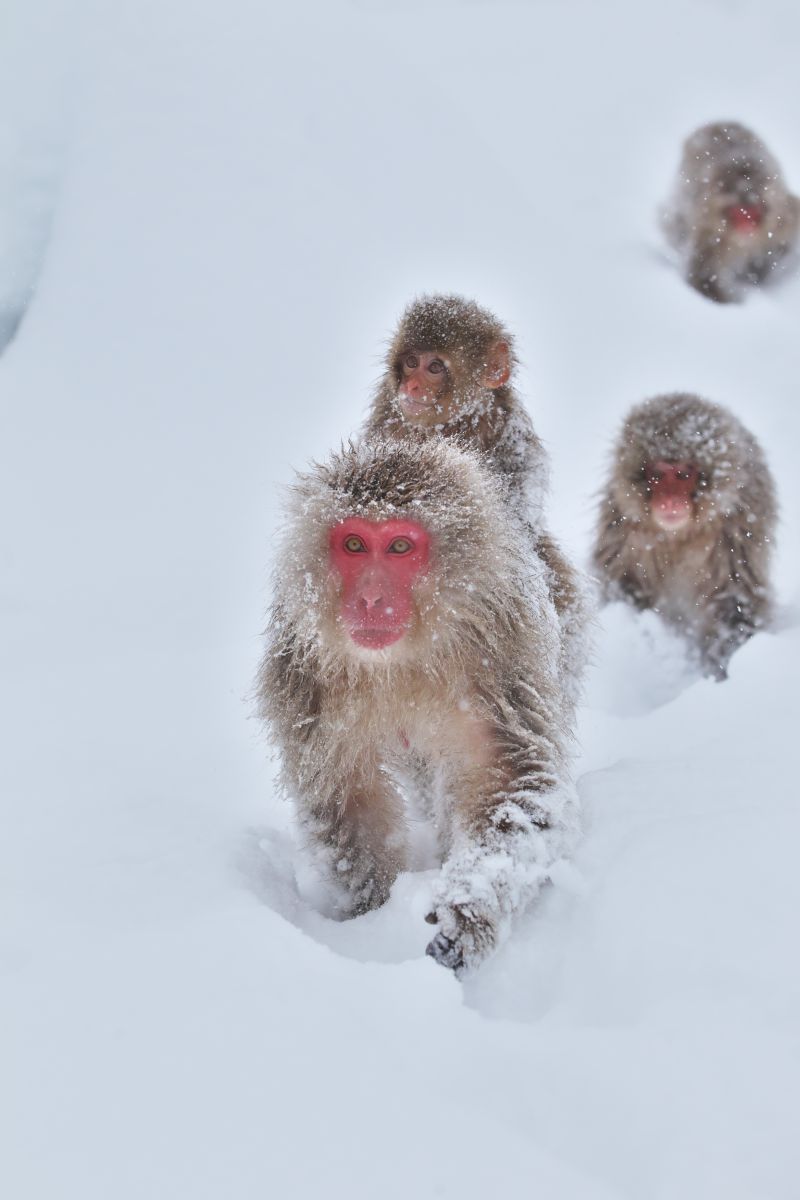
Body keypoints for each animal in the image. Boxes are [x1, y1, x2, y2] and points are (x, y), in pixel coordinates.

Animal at [257, 437, 580, 972]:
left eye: (400, 547)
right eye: (354, 545)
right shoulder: (305, 670)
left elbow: (506, 780)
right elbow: (350, 794)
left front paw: (468, 910)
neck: (403, 659)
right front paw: (373, 913)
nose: (369, 598)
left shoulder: (500, 654)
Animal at [362, 293, 590, 698]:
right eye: (411, 363)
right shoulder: (388, 423)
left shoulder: (511, 433)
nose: (412, 388)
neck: (453, 424)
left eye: (435, 367)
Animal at [592, 392, 777, 680]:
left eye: (682, 475)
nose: (669, 501)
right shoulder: (623, 523)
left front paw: (720, 666)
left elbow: (735, 599)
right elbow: (625, 582)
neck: (680, 533)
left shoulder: (738, 525)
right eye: (657, 475)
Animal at [662, 121, 800, 303]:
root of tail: (718, 122)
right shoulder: (709, 232)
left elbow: (780, 247)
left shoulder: (783, 219)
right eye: (739, 212)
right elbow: (704, 275)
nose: (747, 227)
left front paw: (760, 269)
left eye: (753, 211)